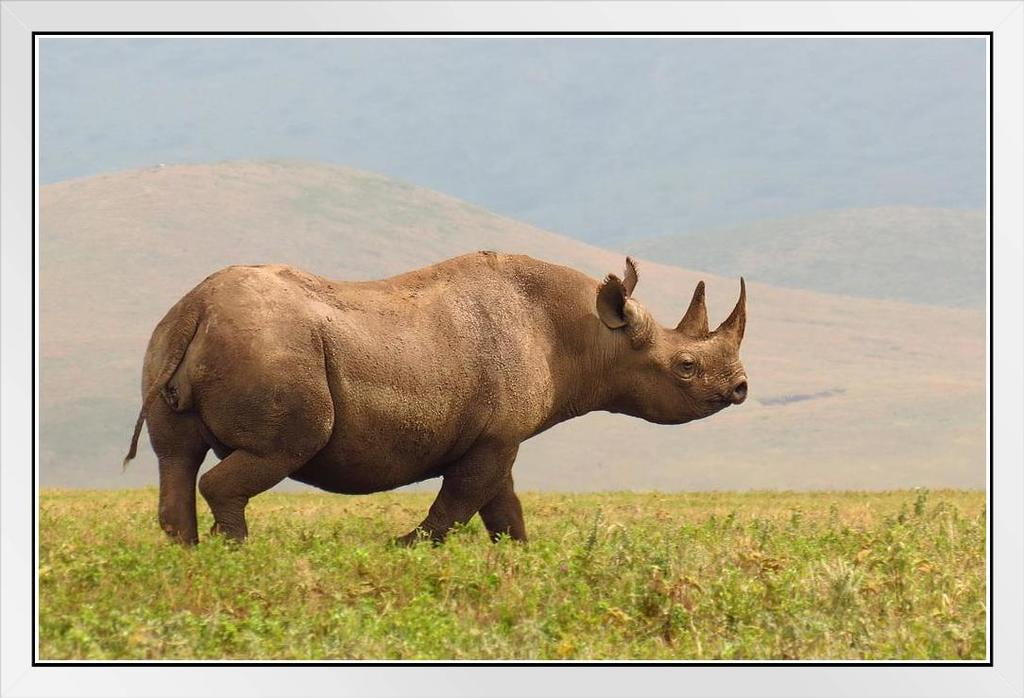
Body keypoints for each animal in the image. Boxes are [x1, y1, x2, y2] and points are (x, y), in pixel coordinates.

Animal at [123, 252, 747, 545]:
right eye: (686, 367)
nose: (740, 388)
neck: (594, 334)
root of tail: (197, 308)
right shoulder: (494, 436)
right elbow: (460, 503)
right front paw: (399, 549)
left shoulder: (497, 436)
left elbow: (502, 508)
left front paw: (520, 564)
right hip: (273, 349)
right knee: (282, 449)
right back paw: (238, 555)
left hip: (168, 336)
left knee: (175, 458)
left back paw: (190, 558)